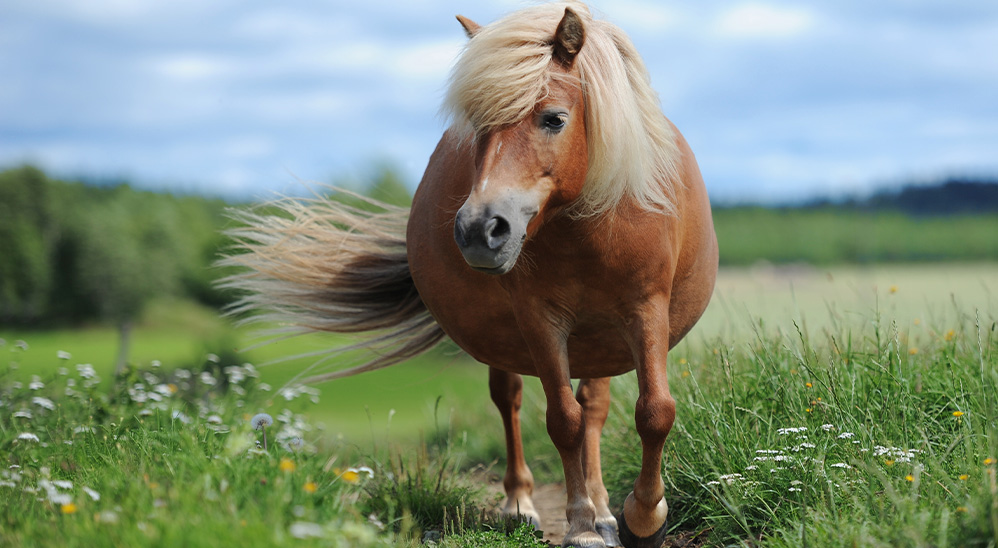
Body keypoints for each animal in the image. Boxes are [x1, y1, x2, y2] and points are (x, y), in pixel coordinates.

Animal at [222, 3, 717, 547]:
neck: (589, 226)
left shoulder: (645, 310)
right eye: (477, 127)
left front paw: (640, 518)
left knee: (595, 406)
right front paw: (583, 526)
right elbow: (562, 420)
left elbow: (654, 412)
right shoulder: (540, 320)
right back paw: (522, 505)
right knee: (513, 400)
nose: (480, 229)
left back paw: (607, 510)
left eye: (553, 119)